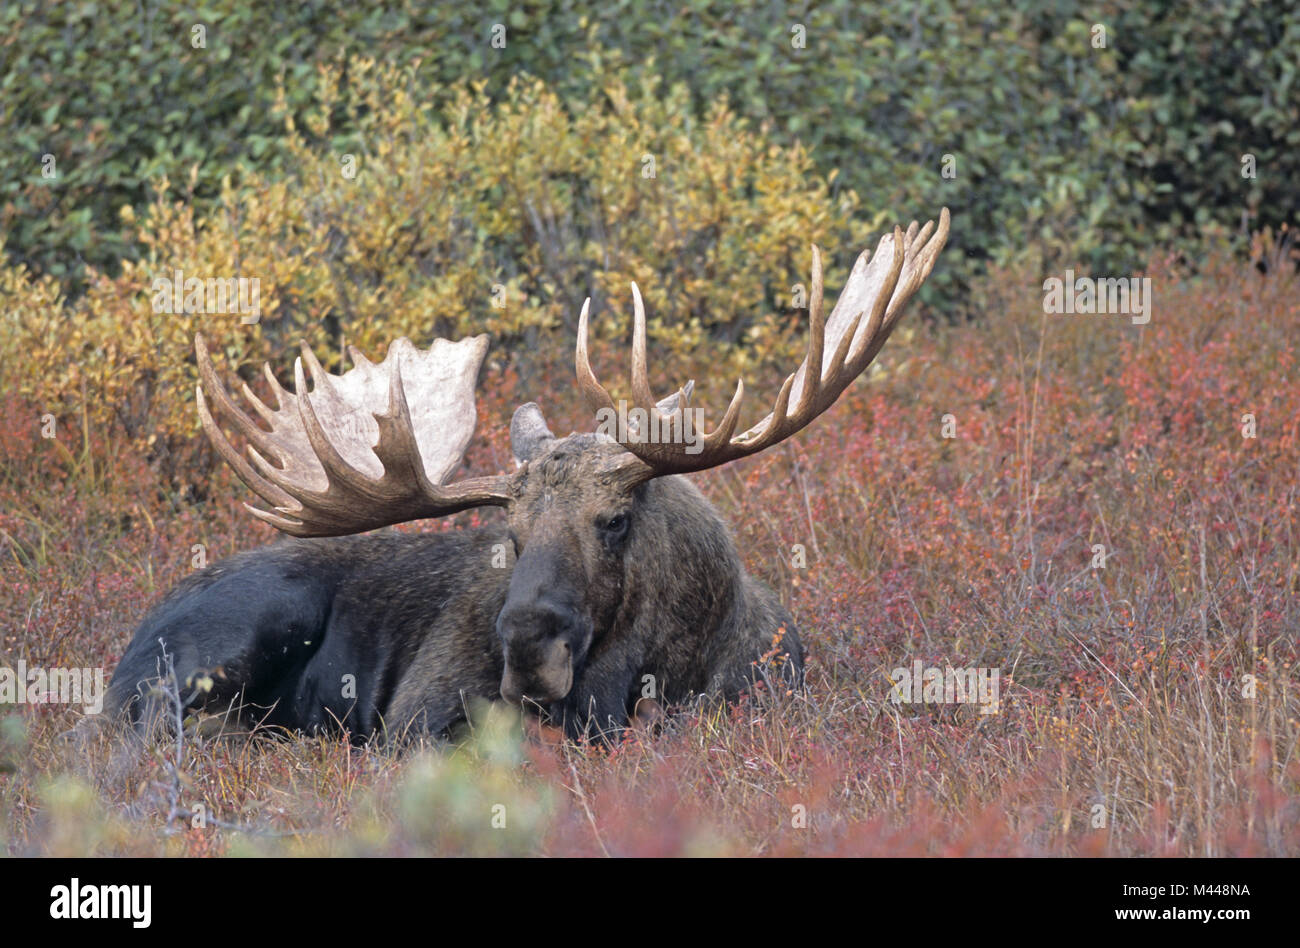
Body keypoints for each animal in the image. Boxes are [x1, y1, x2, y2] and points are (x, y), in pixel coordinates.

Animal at [105, 209, 949, 744]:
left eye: (615, 519)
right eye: (507, 533)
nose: (527, 653)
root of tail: (125, 650)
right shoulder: (417, 716)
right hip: (233, 635)